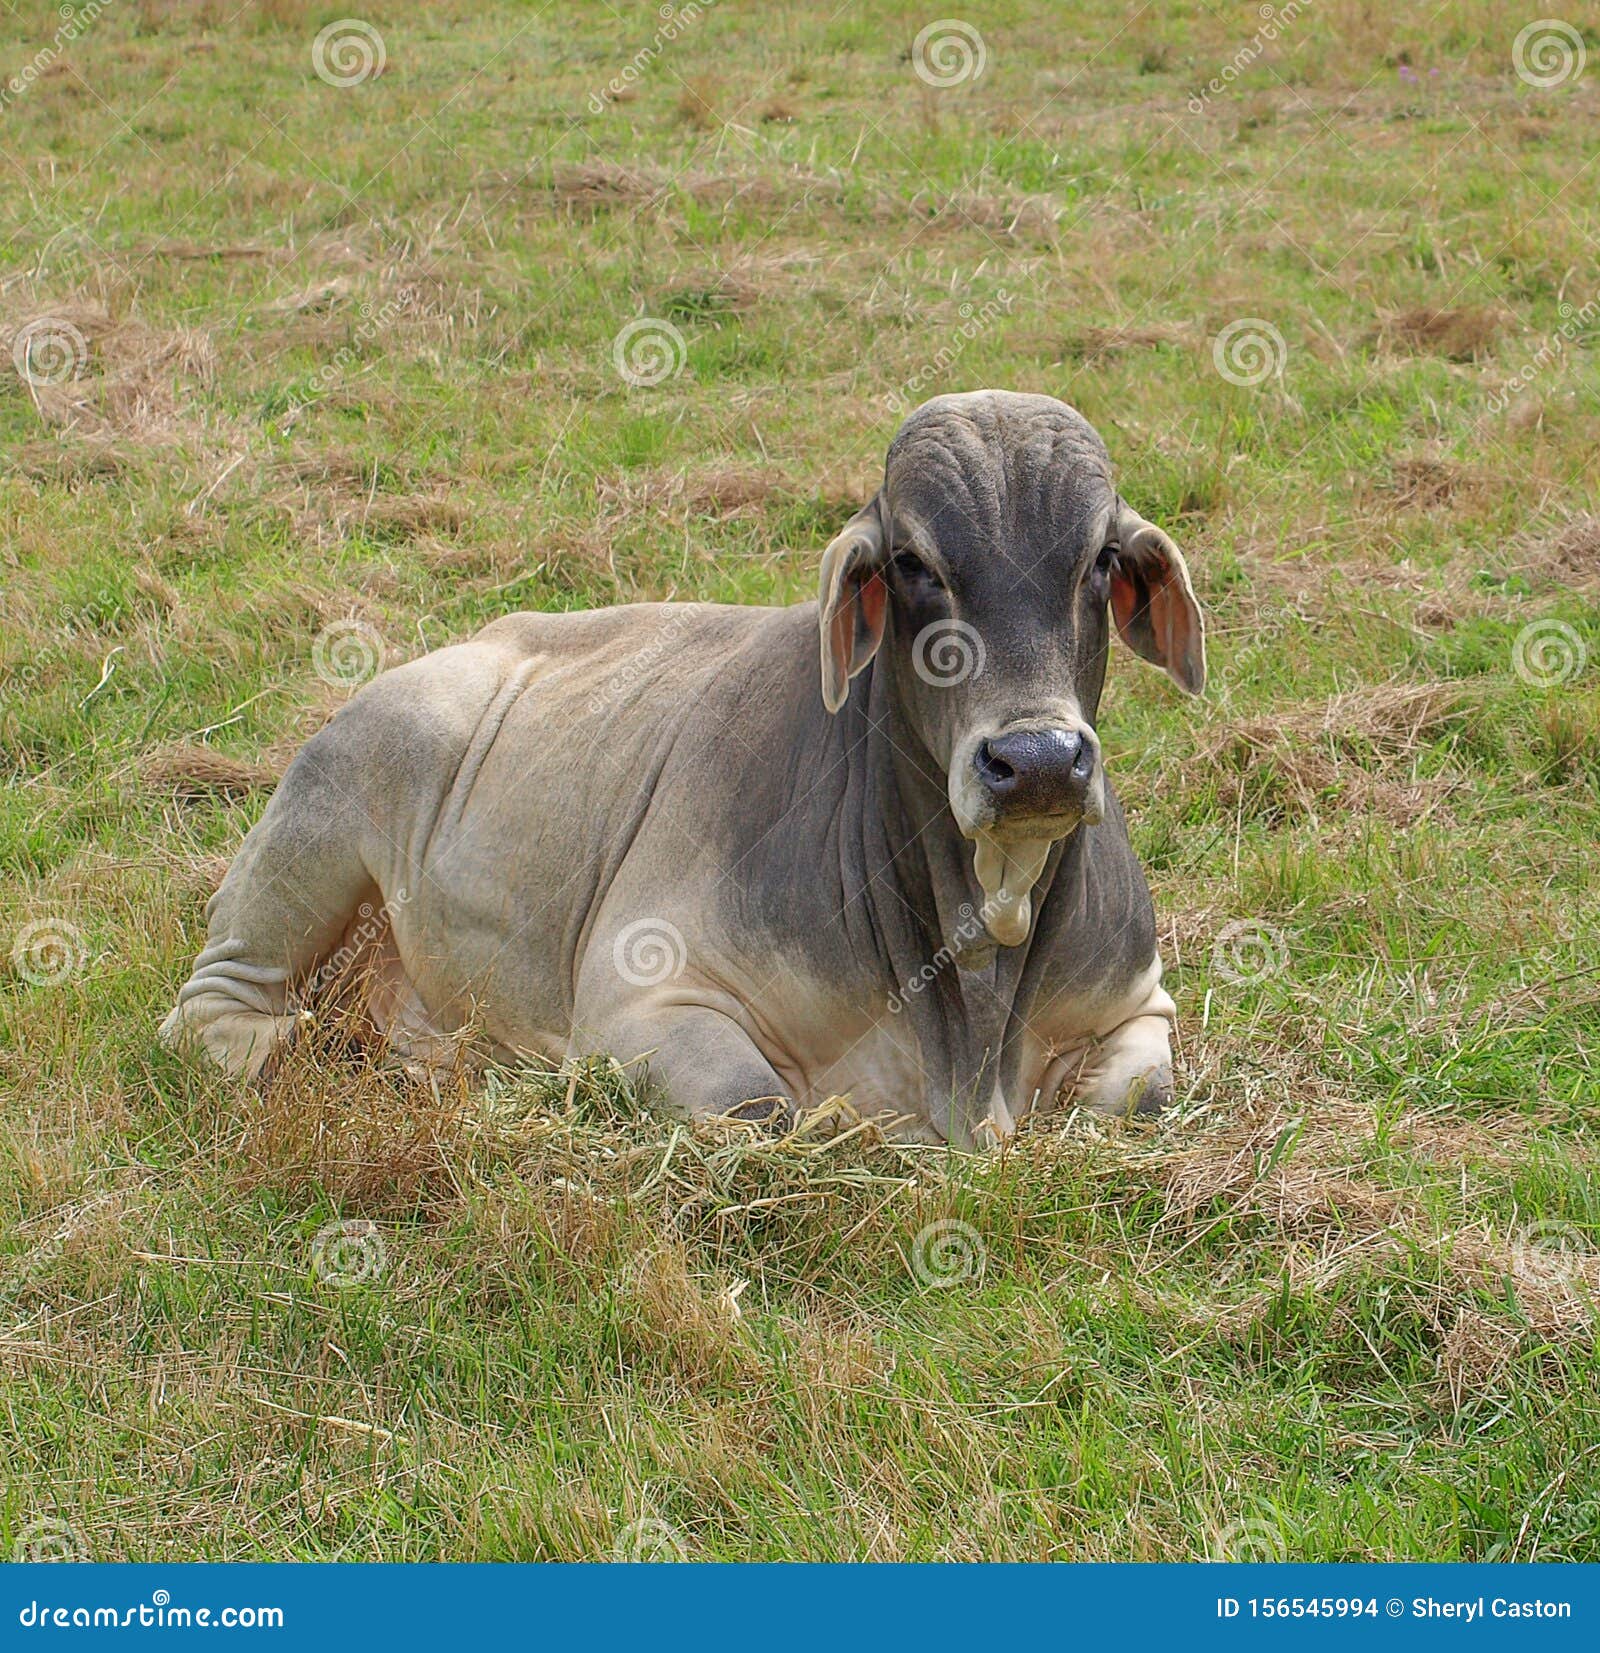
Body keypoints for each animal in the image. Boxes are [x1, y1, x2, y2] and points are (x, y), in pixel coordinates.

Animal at [160, 390, 1206, 1146]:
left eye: (1100, 558)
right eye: (914, 562)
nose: (1037, 759)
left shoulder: (1138, 1003)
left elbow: (1144, 1096)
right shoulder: (643, 995)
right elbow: (766, 1110)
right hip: (317, 823)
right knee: (208, 1006)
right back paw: (292, 1051)